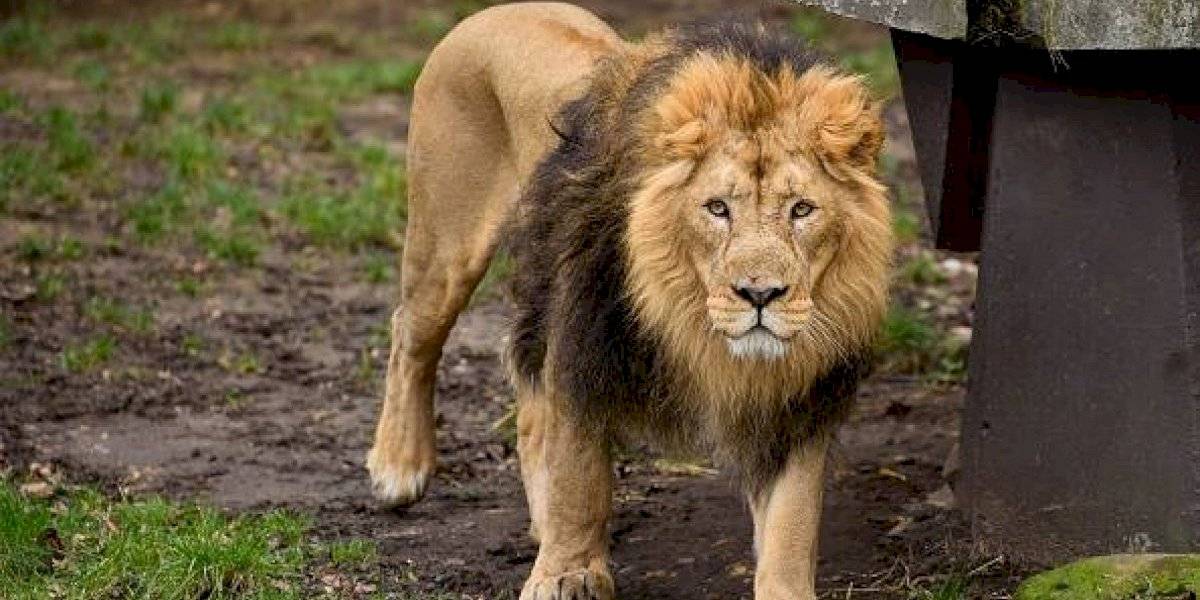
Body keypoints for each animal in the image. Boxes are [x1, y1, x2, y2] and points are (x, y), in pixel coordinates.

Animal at [367, 3, 892, 598]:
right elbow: (580, 478)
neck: (689, 321)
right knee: (411, 335)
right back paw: (398, 467)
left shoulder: (802, 400)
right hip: (445, 244)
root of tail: (498, 11)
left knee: (528, 412)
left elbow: (792, 519)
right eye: (717, 208)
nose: (760, 294)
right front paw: (567, 573)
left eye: (802, 209)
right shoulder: (583, 343)